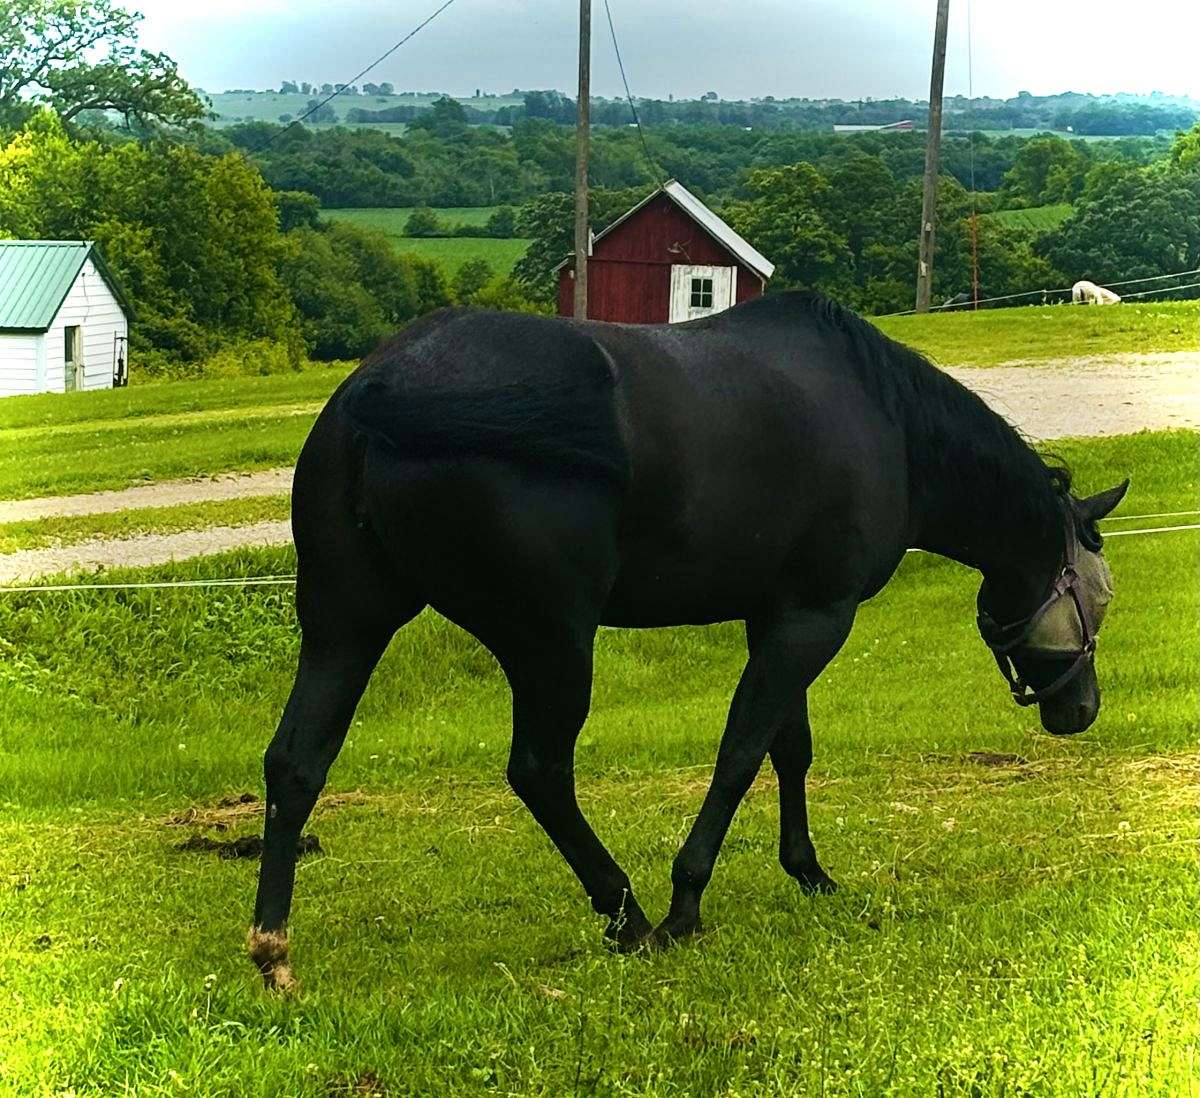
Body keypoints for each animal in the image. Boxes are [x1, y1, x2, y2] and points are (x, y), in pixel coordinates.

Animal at [248, 292, 1128, 990]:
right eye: (1100, 594)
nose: (1080, 709)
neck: (888, 423)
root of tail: (381, 386)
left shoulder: (781, 613)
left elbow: (789, 748)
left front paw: (807, 871)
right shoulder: (814, 618)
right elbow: (742, 752)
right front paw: (687, 901)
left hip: (345, 625)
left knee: (296, 763)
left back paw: (272, 948)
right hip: (550, 643)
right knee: (540, 772)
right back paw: (627, 913)